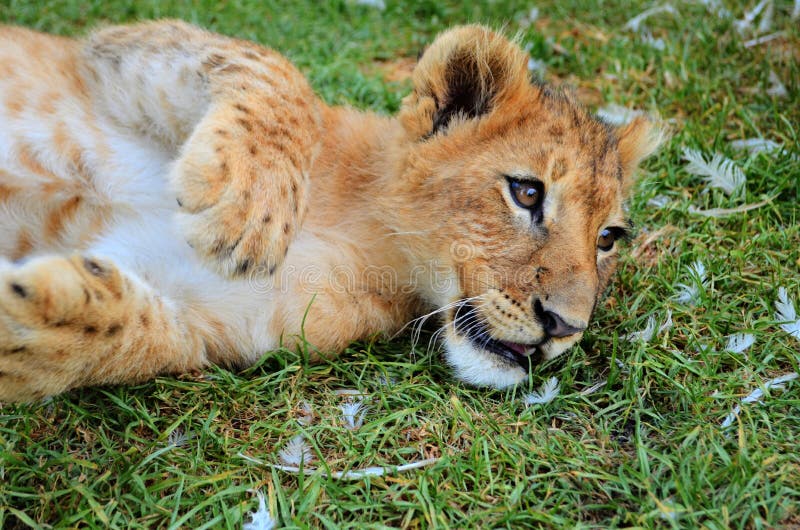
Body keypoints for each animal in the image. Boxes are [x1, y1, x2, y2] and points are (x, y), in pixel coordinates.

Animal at [0, 21, 661, 402]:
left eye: (608, 238)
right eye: (527, 193)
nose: (565, 329)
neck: (374, 232)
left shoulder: (228, 315)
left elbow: (146, 334)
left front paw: (25, 324)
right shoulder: (112, 51)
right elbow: (272, 66)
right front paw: (250, 207)